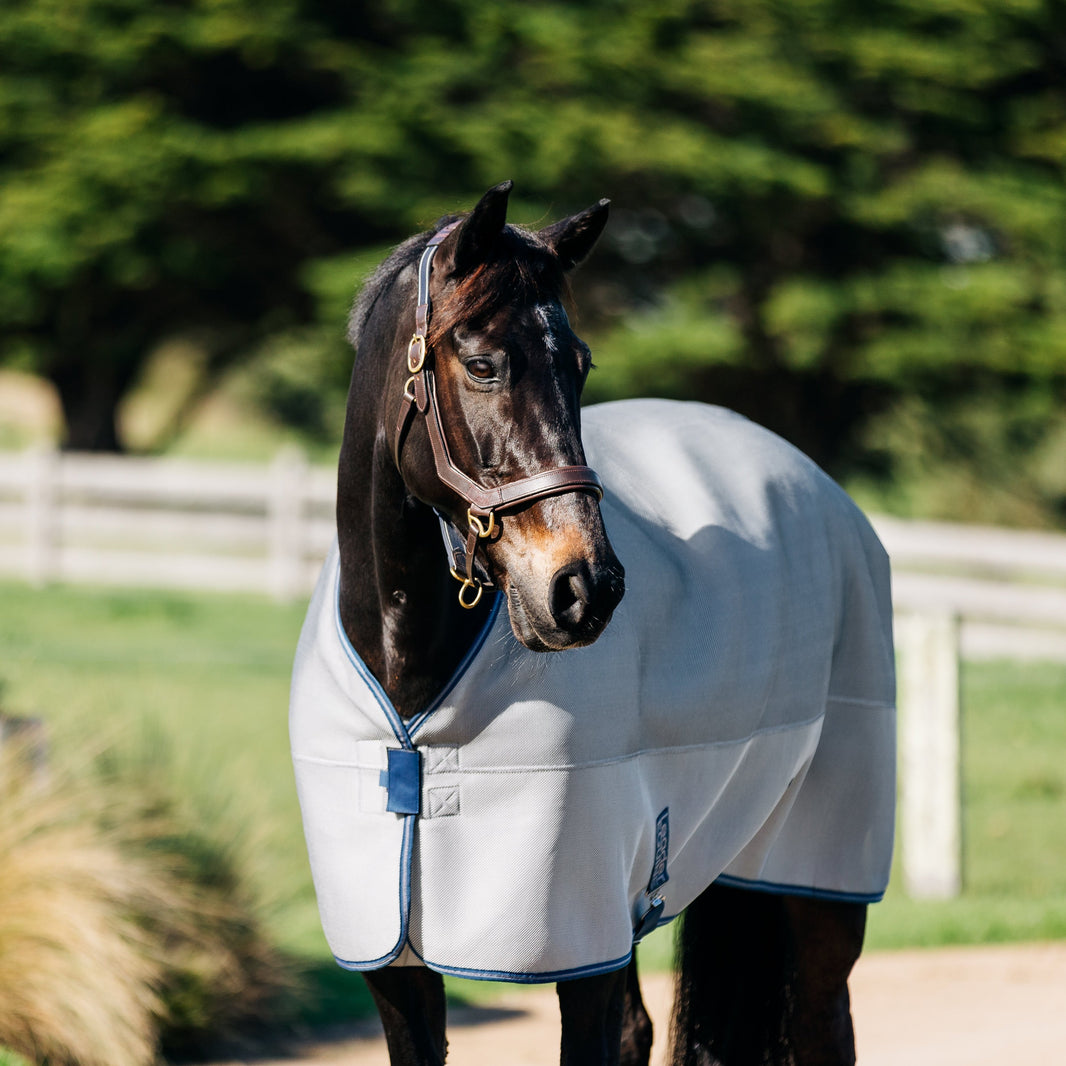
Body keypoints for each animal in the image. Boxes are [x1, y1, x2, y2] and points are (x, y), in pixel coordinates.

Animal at [289, 181, 896, 1066]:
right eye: (482, 364)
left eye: (580, 366)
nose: (586, 588)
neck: (413, 688)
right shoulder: (395, 966)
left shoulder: (581, 944)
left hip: (817, 884)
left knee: (823, 1020)